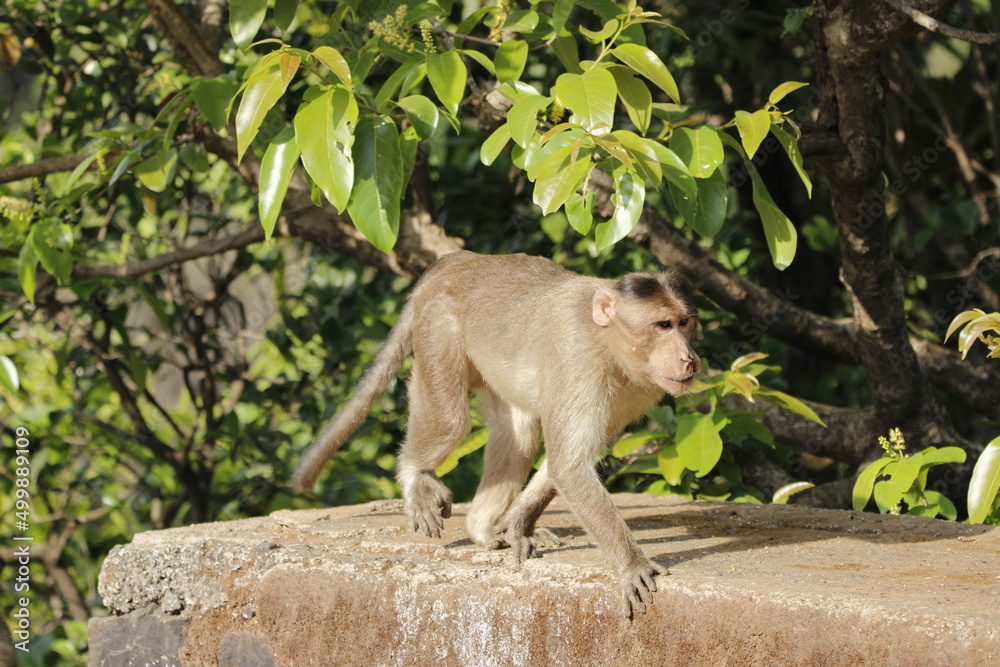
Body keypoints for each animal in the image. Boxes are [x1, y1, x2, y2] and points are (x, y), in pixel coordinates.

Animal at [295, 251, 701, 617]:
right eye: (662, 326)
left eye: (684, 323)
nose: (690, 359)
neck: (608, 341)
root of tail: (464, 259)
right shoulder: (576, 355)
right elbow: (570, 465)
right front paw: (631, 564)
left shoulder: (642, 391)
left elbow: (568, 460)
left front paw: (520, 524)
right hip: (437, 323)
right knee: (450, 419)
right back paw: (415, 476)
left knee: (516, 431)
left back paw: (482, 527)